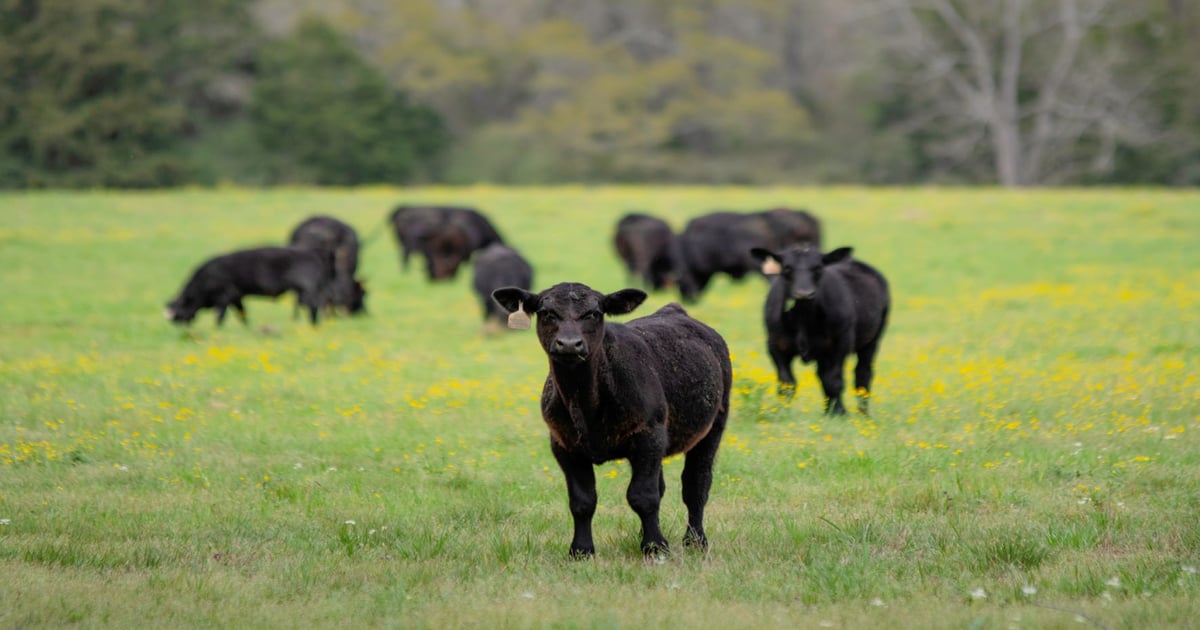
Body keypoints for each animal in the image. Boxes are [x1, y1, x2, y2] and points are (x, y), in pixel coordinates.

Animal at [164, 247, 332, 327]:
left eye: (177, 312)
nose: (177, 326)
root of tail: (312, 254)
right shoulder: (236, 297)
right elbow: (242, 314)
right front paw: (246, 327)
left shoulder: (224, 297)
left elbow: (220, 316)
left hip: (306, 290)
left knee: (313, 306)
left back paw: (314, 325)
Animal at [491, 282, 732, 558]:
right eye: (546, 312)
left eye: (595, 313)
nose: (569, 344)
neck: (585, 404)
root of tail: (674, 311)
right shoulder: (564, 445)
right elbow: (582, 500)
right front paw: (581, 550)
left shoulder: (648, 435)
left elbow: (643, 496)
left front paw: (655, 547)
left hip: (713, 426)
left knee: (696, 485)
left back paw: (695, 540)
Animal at [750, 245, 889, 415]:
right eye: (787, 268)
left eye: (818, 268)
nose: (804, 293)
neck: (803, 319)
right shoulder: (775, 345)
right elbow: (787, 383)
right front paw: (782, 413)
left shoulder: (840, 344)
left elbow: (834, 381)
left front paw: (839, 413)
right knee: (823, 375)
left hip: (872, 339)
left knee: (862, 375)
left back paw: (863, 413)